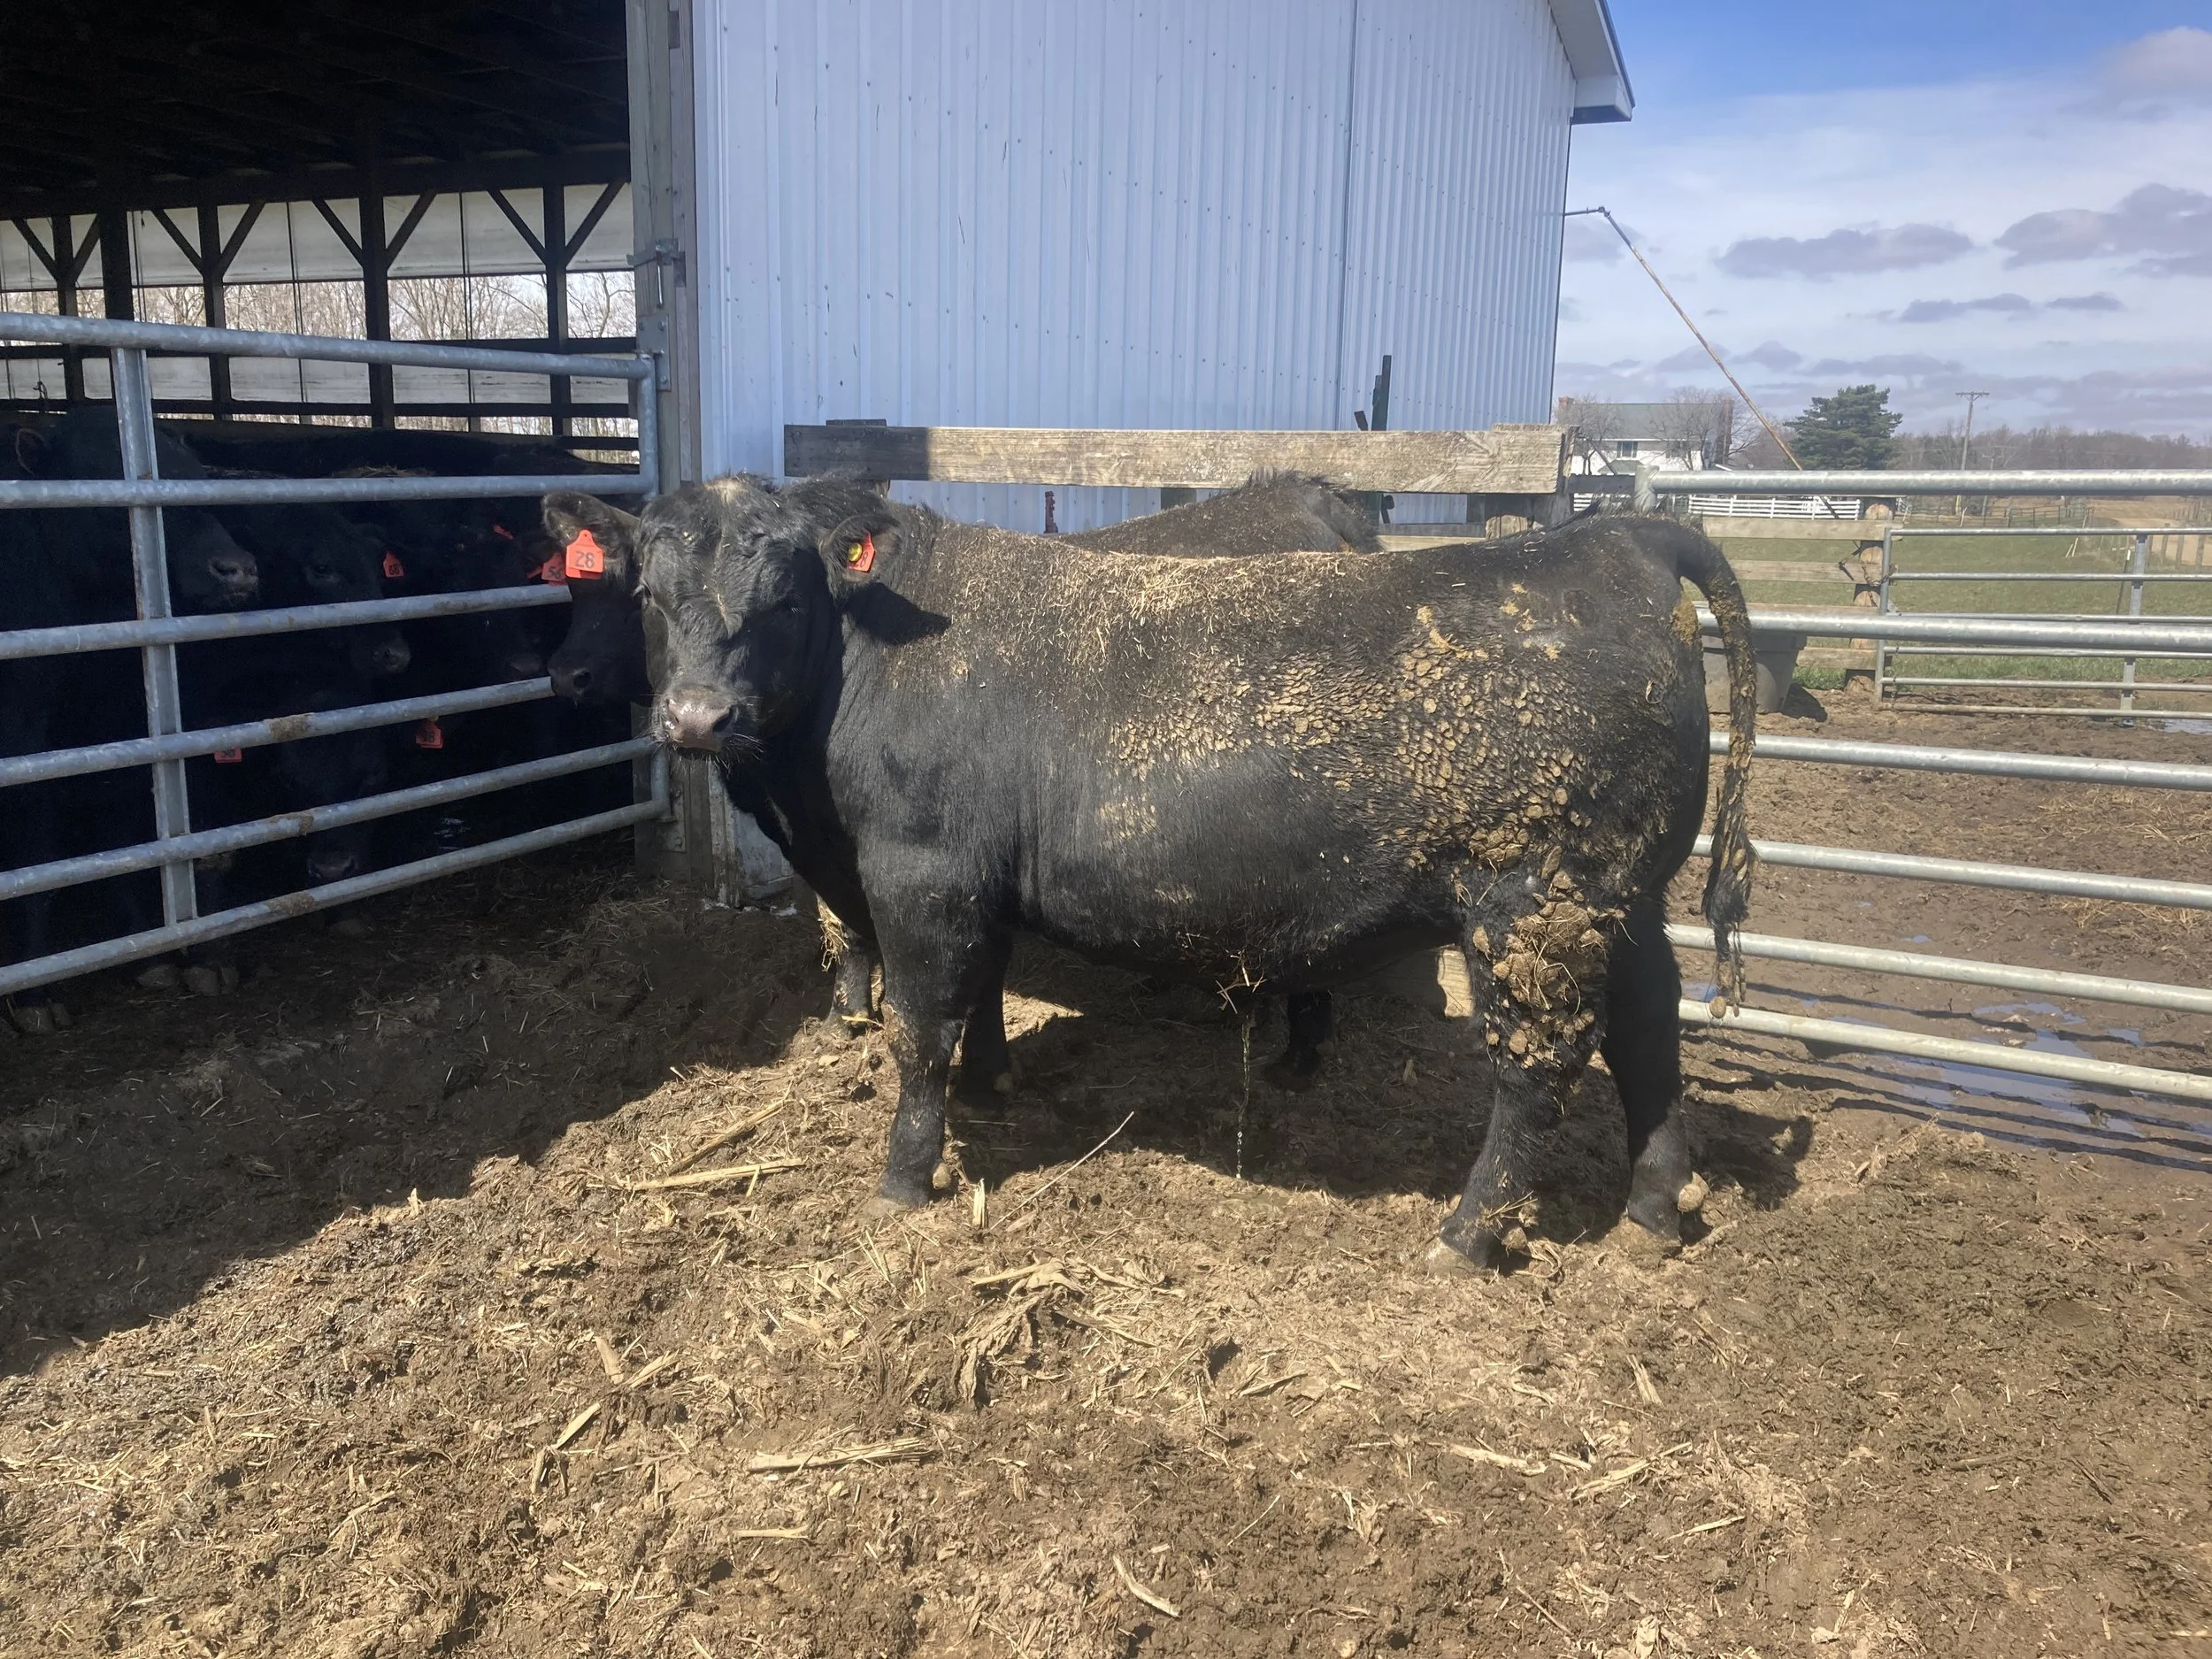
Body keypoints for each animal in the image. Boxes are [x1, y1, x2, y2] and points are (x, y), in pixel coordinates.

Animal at [546, 482, 1759, 1270]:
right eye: (649, 594)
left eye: (787, 596)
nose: (696, 719)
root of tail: (1623, 538)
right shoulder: (976, 880)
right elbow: (980, 997)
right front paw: (996, 1085)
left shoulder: (920, 875)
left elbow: (920, 1028)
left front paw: (904, 1175)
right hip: (1620, 903)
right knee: (1649, 1031)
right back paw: (1656, 1207)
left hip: (1535, 909)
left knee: (1536, 1073)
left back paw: (1467, 1235)